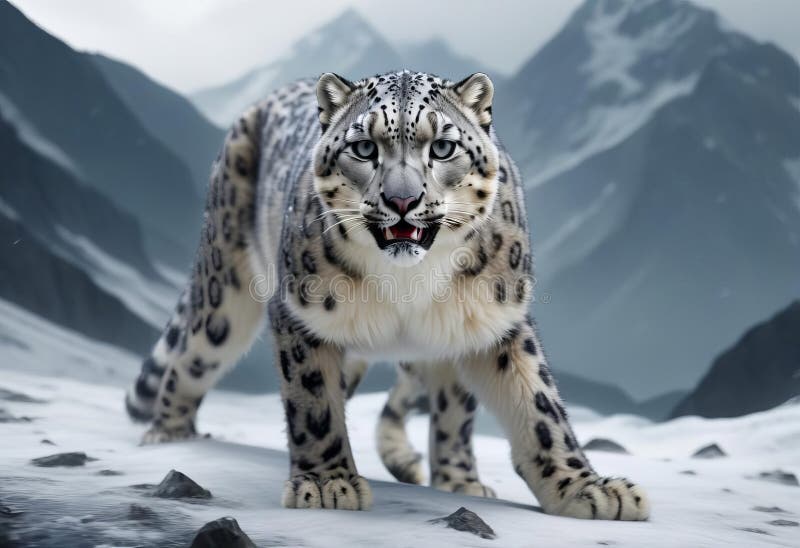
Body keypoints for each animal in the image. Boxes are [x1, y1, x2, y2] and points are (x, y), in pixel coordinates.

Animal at [124, 69, 650, 520]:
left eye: (443, 146)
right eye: (362, 147)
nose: (402, 200)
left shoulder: (500, 317)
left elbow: (540, 406)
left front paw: (589, 488)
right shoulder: (300, 312)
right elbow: (313, 400)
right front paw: (326, 483)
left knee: (452, 408)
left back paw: (459, 480)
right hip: (223, 295)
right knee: (190, 359)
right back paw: (170, 437)